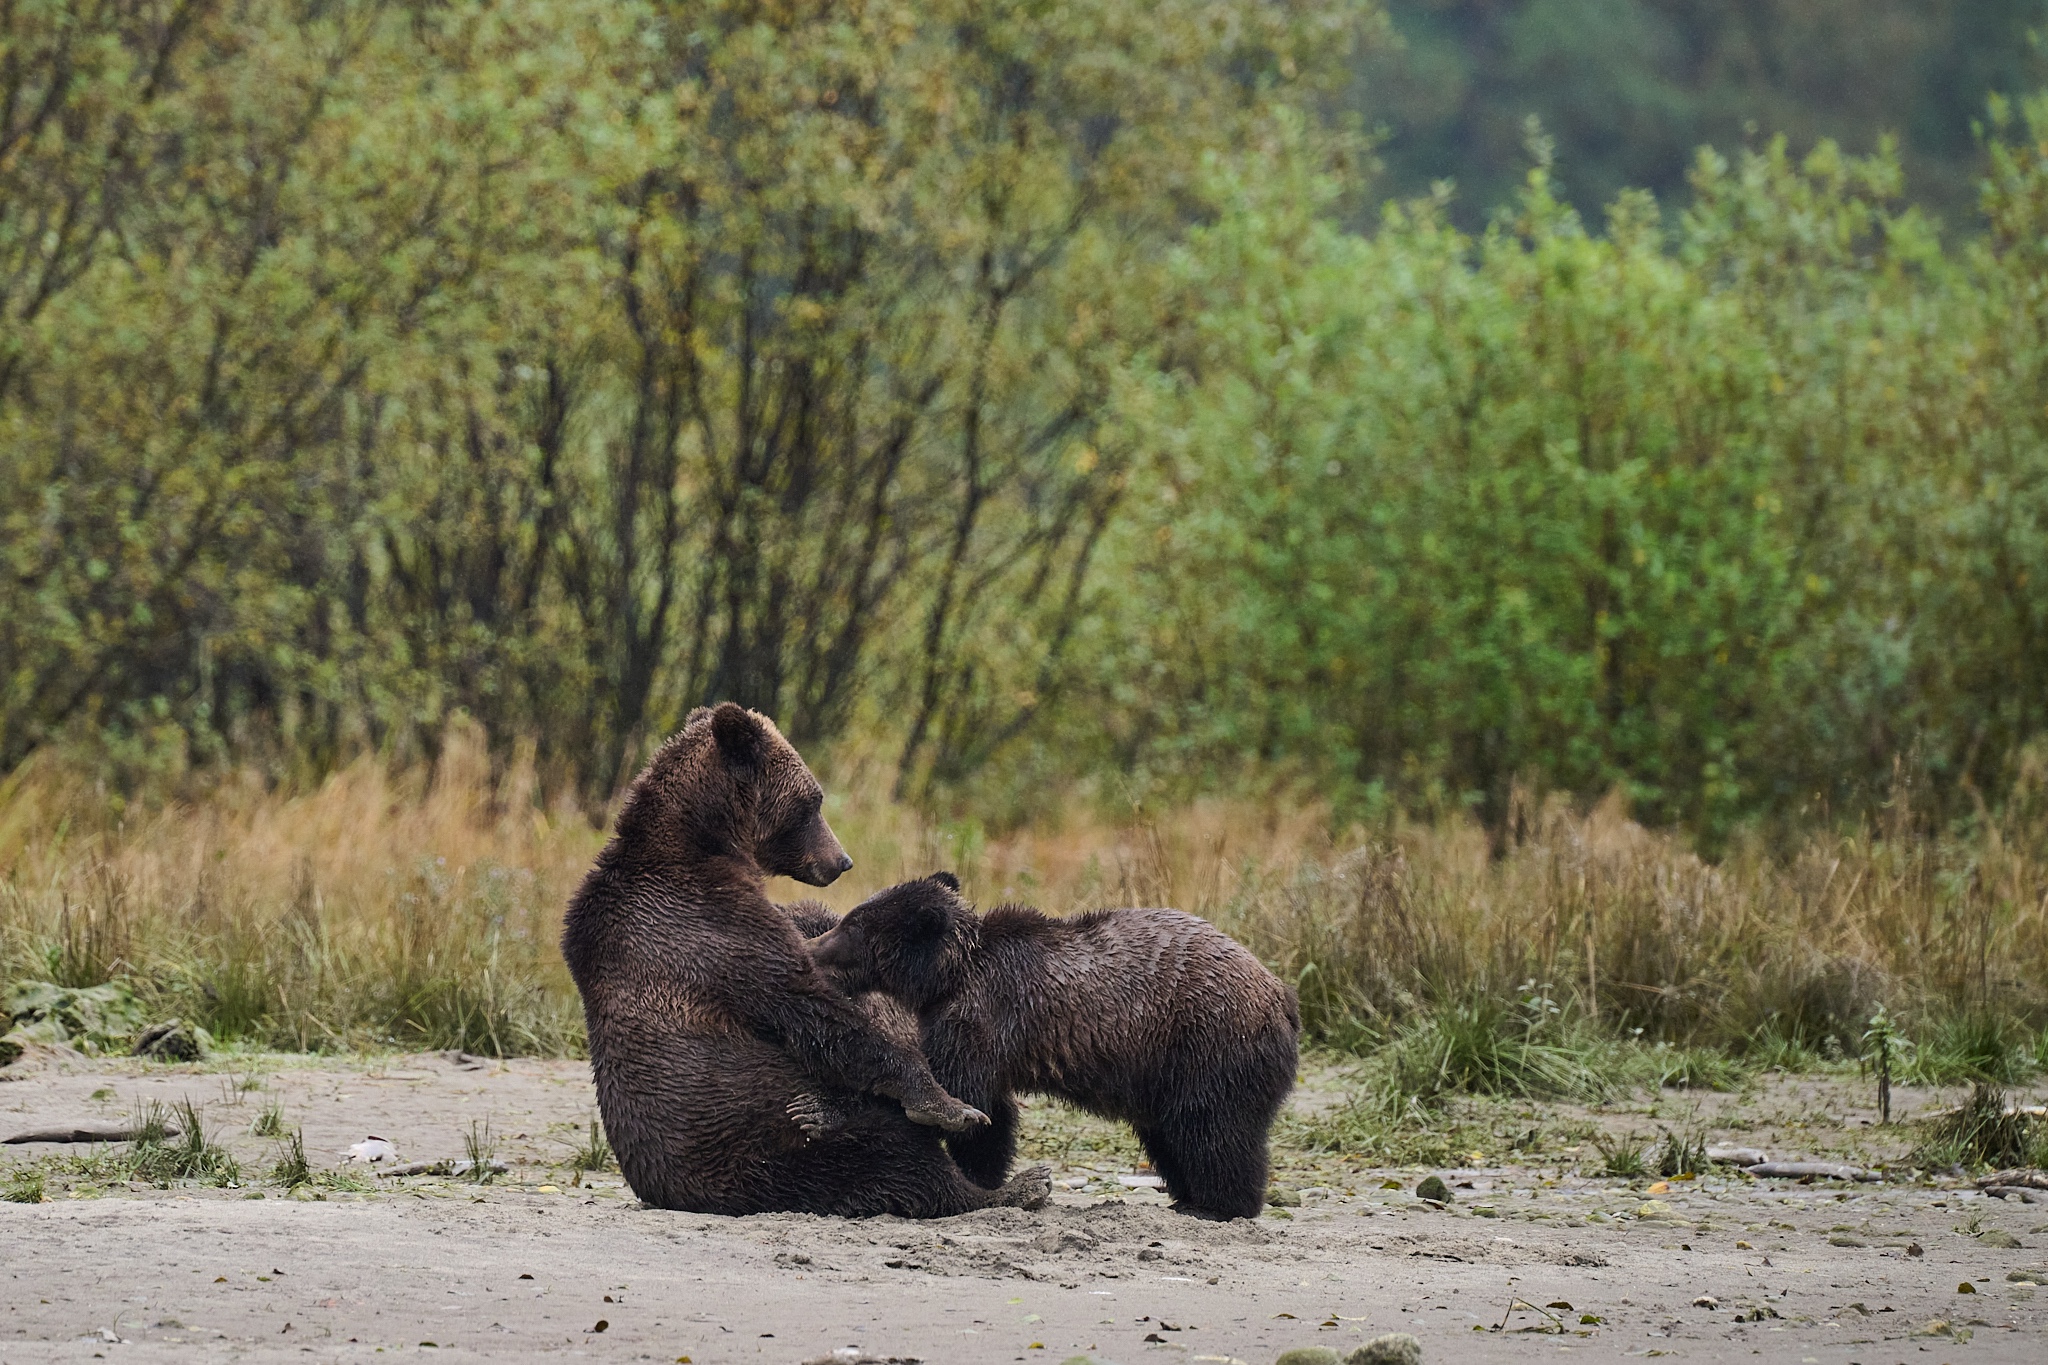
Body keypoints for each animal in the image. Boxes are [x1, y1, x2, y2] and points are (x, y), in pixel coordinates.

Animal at [560, 703, 1051, 1216]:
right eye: (813, 802)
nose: (842, 861)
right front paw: (948, 1104)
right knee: (892, 1157)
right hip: (771, 1142)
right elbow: (816, 1010)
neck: (705, 843)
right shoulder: (713, 928)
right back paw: (1016, 1184)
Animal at [807, 872, 1300, 1219]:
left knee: (1213, 1130)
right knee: (1169, 1135)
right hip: (1165, 1075)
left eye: (853, 925)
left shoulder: (983, 1014)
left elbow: (961, 1091)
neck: (947, 977)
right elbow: (992, 1116)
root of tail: (1283, 997)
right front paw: (984, 1170)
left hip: (1206, 1042)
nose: (812, 946)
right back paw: (1187, 1196)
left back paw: (1217, 1204)